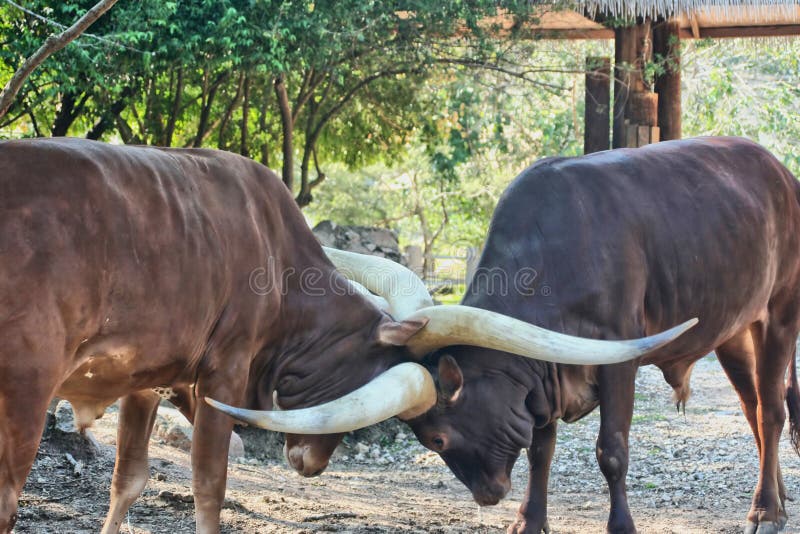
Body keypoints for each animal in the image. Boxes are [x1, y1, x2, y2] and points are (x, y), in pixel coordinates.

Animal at [0, 138, 693, 534]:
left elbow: (130, 480)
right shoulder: (221, 372)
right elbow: (208, 488)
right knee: (10, 493)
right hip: (25, 390)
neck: (275, 259)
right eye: (433, 436)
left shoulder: (150, 381)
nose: (307, 464)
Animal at [403, 137, 800, 534]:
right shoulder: (545, 371)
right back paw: (778, 495)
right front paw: (529, 519)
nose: (488, 494)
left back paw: (766, 510)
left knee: (771, 411)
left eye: (438, 438)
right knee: (752, 407)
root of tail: (782, 174)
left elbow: (611, 451)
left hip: (780, 314)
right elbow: (540, 450)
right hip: (733, 331)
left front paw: (621, 524)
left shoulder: (618, 357)